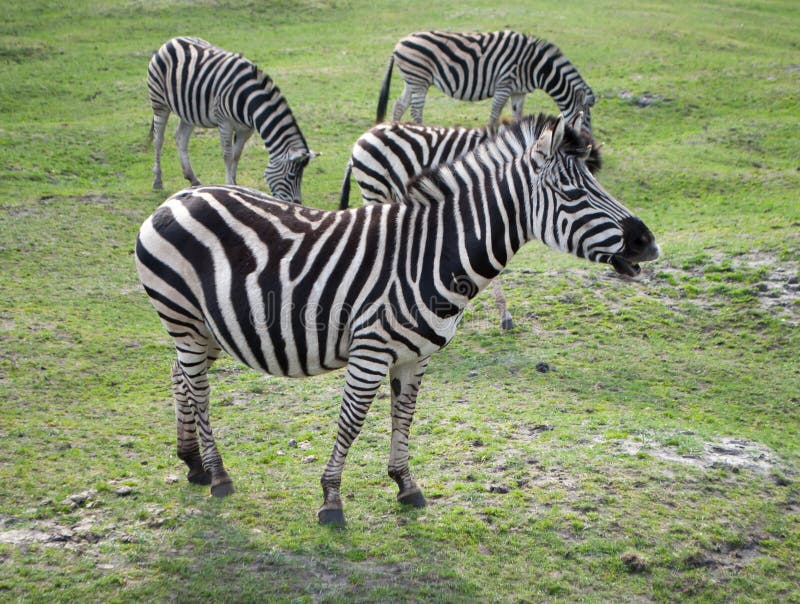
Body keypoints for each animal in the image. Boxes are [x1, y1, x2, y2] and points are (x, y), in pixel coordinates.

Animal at [147, 36, 318, 203]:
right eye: (292, 176)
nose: (297, 203)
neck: (249, 99)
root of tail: (173, 40)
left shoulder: (246, 129)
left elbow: (236, 156)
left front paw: (236, 185)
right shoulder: (225, 123)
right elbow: (228, 156)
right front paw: (229, 184)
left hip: (188, 110)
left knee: (181, 138)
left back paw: (193, 179)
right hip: (159, 102)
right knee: (158, 140)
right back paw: (157, 181)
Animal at [376, 30, 596, 138]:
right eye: (586, 117)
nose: (589, 142)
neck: (535, 66)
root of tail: (399, 44)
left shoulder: (519, 91)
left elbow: (517, 114)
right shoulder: (504, 83)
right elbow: (495, 112)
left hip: (412, 80)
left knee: (399, 104)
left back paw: (395, 127)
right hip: (419, 78)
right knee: (415, 109)